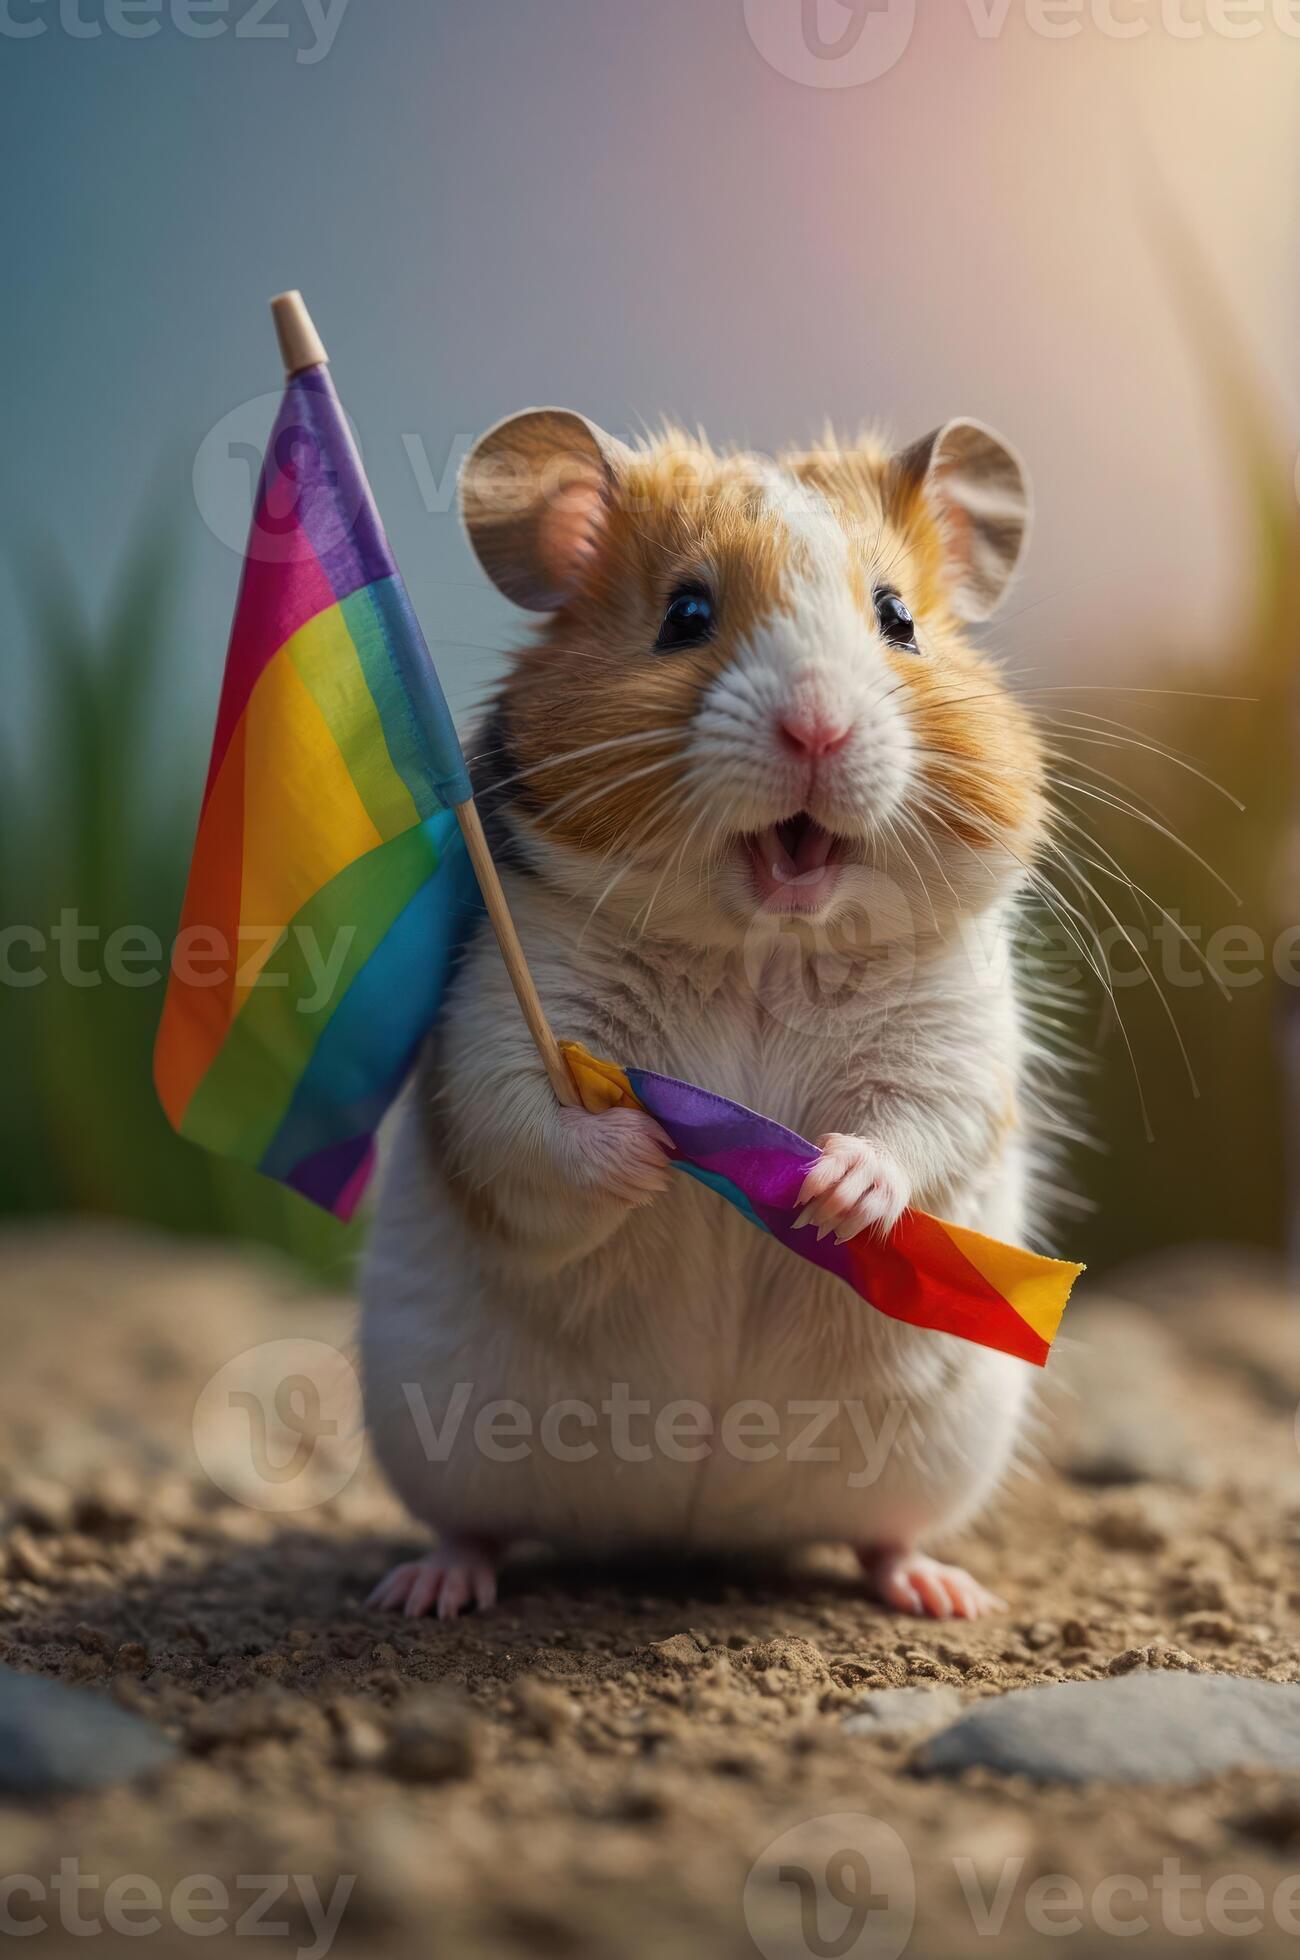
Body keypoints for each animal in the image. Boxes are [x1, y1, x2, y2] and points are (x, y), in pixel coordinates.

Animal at [360, 409, 1051, 1621]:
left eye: (899, 620)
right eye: (684, 615)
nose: (817, 729)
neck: (761, 949)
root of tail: (684, 1535)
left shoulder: (955, 1049)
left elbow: (912, 1132)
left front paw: (830, 1193)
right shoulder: (497, 1022)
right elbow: (527, 1127)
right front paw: (645, 1148)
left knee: (882, 1537)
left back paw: (944, 1594)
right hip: (431, 1434)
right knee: (470, 1528)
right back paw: (428, 1589)